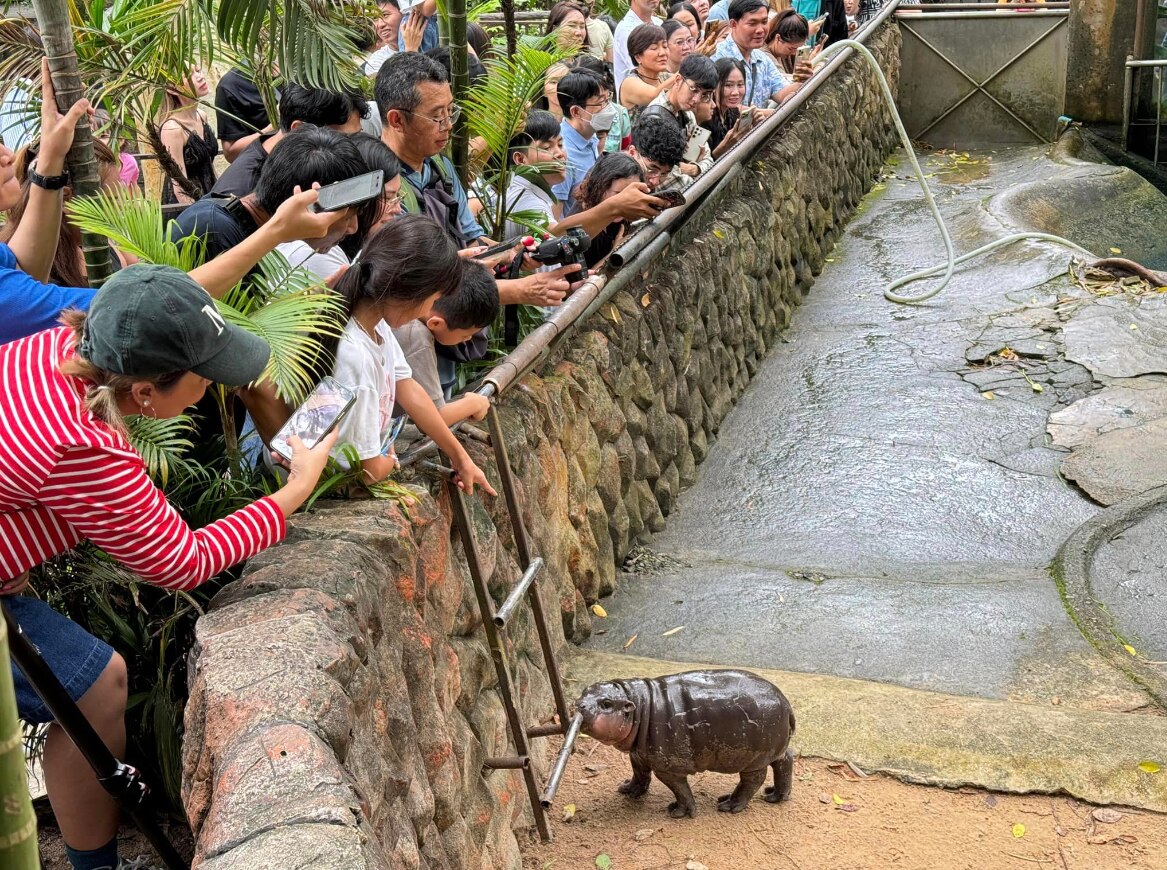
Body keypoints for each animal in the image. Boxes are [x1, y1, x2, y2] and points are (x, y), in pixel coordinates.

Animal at [575, 669, 795, 818]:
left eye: (606, 704)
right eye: (585, 690)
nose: (579, 705)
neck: (638, 705)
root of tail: (786, 702)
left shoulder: (668, 768)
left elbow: (680, 789)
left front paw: (679, 812)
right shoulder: (638, 754)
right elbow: (639, 774)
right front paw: (628, 789)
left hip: (752, 759)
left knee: (753, 780)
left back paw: (728, 805)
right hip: (775, 749)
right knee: (785, 760)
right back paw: (775, 796)